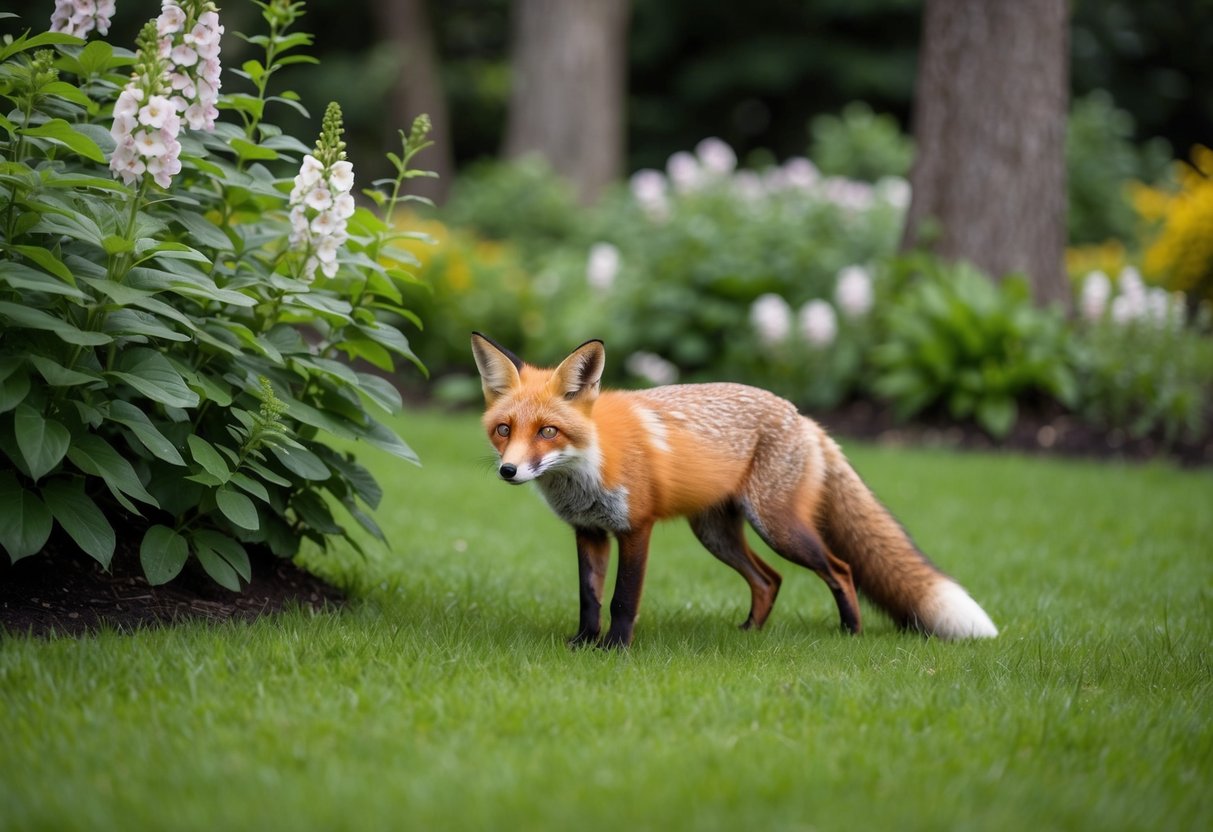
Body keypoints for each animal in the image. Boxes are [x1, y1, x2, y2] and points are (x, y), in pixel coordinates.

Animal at [471, 332, 998, 649]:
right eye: (504, 430)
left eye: (548, 432)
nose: (510, 471)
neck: (590, 463)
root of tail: (804, 418)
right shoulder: (589, 531)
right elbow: (589, 597)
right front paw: (583, 644)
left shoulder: (636, 528)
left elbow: (622, 598)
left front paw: (614, 649)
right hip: (717, 534)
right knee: (769, 580)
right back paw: (749, 633)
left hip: (779, 528)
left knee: (841, 569)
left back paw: (850, 631)